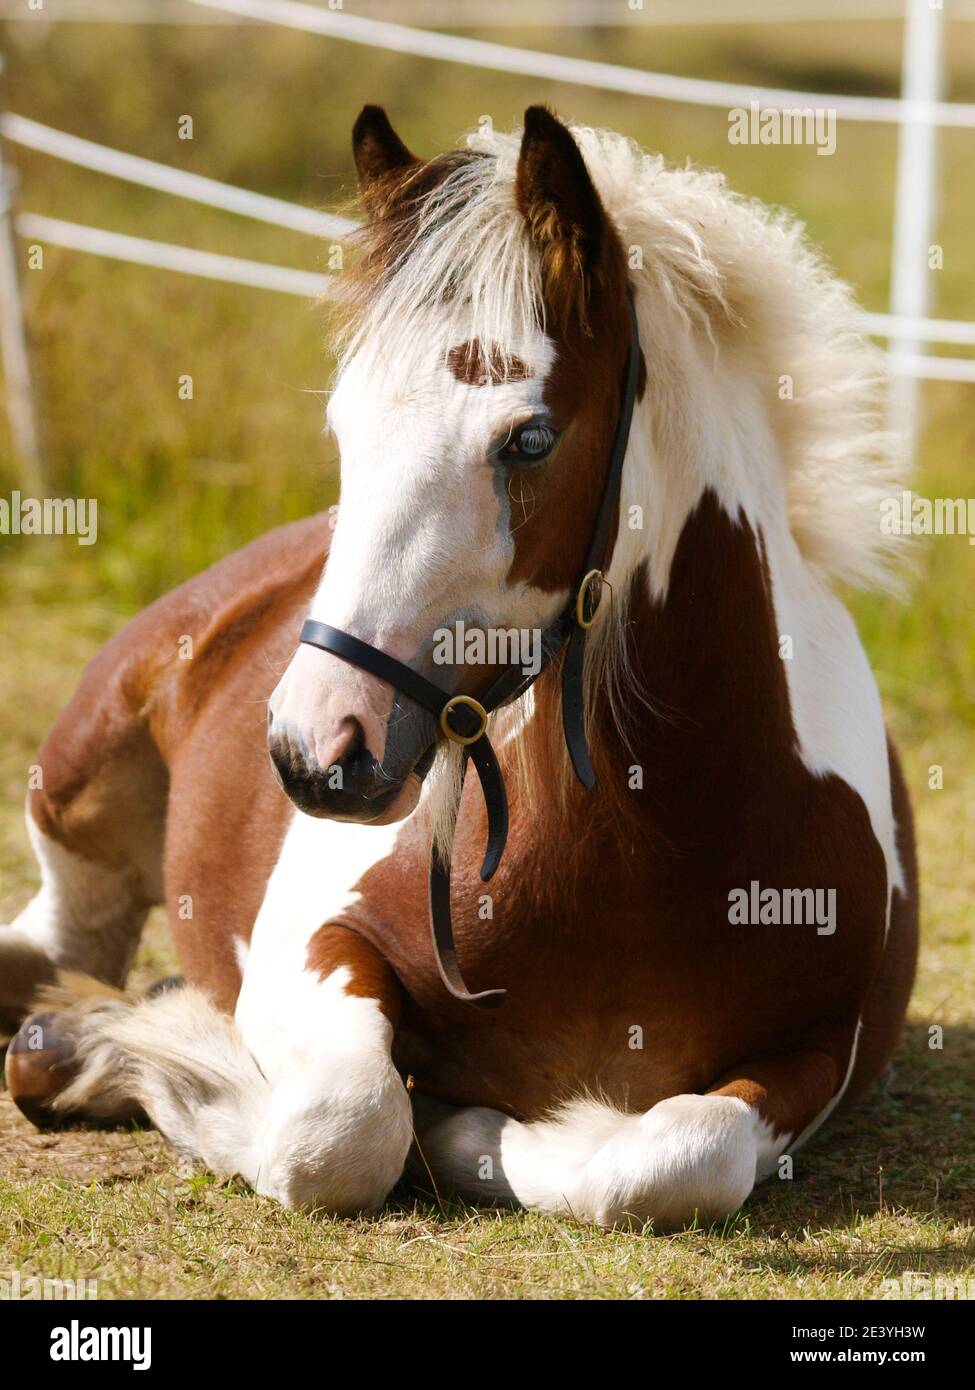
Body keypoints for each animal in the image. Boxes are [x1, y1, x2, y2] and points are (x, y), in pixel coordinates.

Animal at [1, 105, 917, 1229]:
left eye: (528, 439)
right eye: (343, 425)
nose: (314, 750)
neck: (631, 849)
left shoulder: (821, 1057)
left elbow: (665, 1159)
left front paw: (480, 1131)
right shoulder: (309, 948)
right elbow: (342, 1127)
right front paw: (163, 1053)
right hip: (78, 779)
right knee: (66, 936)